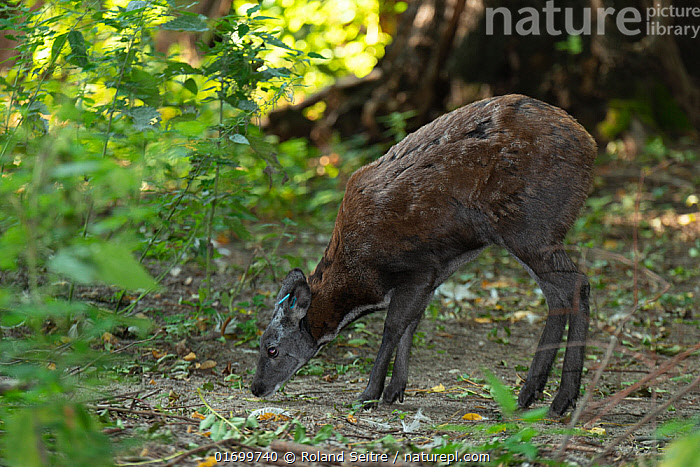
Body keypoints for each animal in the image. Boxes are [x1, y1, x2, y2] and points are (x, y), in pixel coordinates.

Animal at [251, 94, 596, 415]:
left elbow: (393, 327)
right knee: (556, 295)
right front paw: (394, 390)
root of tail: (590, 147)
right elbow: (412, 324)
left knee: (577, 283)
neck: (362, 278)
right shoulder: (435, 271)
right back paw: (530, 393)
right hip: (533, 233)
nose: (256, 388)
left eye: (271, 349)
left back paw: (563, 398)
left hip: (529, 226)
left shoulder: (417, 267)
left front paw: (369, 394)